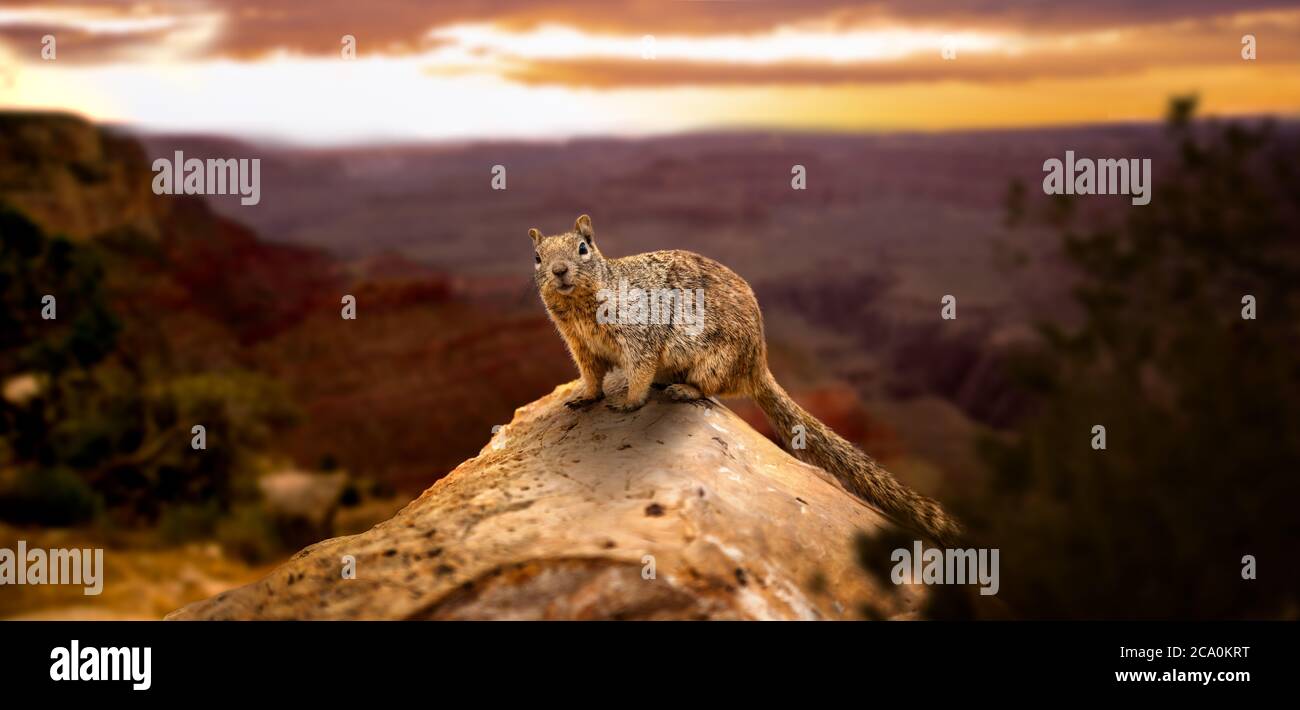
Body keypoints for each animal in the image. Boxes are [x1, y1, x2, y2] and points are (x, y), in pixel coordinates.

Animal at [530, 214, 963, 546]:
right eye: (537, 257)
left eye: (583, 248)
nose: (559, 270)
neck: (579, 307)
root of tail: (758, 363)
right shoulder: (580, 347)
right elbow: (590, 376)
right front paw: (584, 397)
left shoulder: (639, 336)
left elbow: (638, 370)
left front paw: (628, 402)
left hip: (715, 358)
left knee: (709, 388)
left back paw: (682, 388)